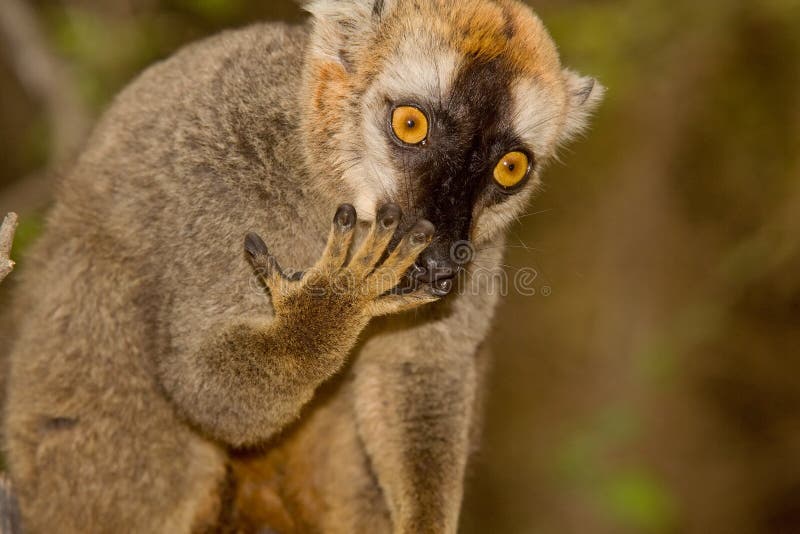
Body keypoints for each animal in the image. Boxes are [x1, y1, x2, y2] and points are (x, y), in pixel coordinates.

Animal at [1, 0, 603, 532]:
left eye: (510, 168)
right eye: (411, 124)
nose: (438, 258)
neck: (327, 185)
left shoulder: (483, 248)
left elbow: (417, 369)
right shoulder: (220, 185)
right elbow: (199, 386)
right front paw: (330, 307)